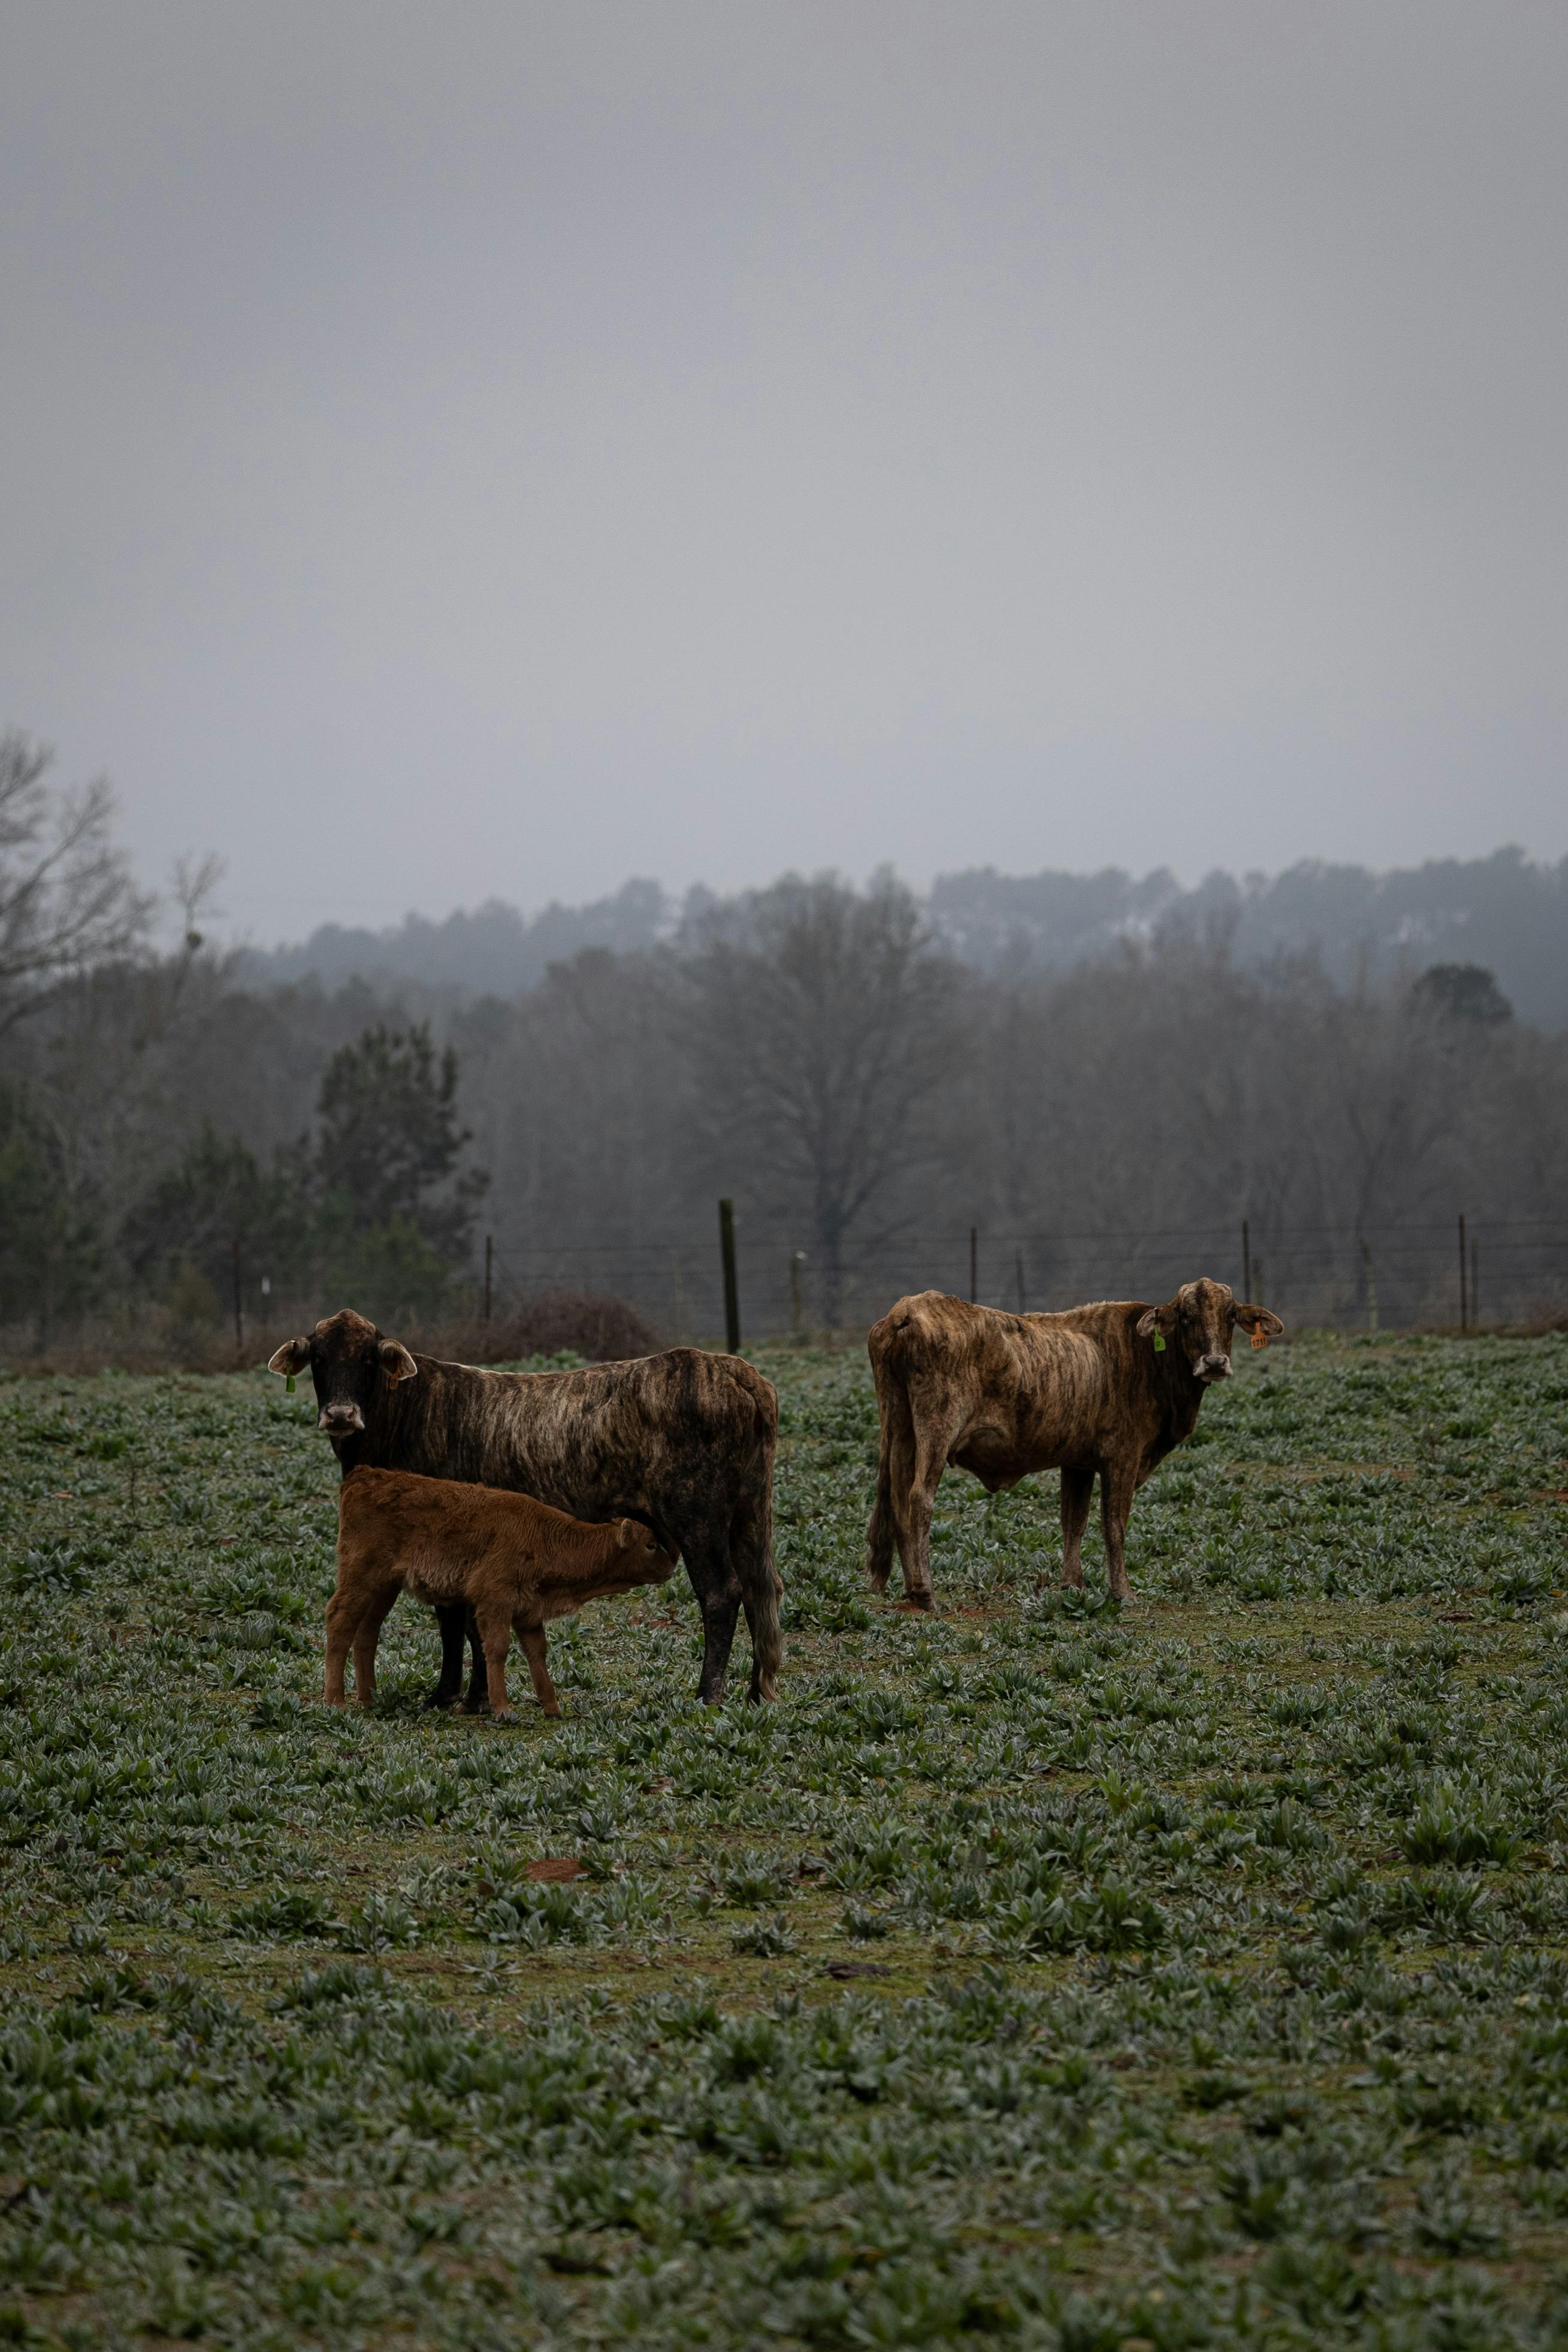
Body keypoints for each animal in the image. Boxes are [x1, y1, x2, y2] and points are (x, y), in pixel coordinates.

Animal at [326, 1466, 678, 1719]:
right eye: (650, 1545)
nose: (671, 1566)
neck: (545, 1536)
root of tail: (364, 1476)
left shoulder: (528, 1613)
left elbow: (537, 1653)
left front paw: (553, 1708)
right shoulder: (495, 1602)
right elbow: (496, 1649)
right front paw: (503, 1709)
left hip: (385, 1588)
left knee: (367, 1633)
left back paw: (370, 1699)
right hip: (360, 1578)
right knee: (340, 1621)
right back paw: (336, 1702)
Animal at [864, 1278, 1283, 1607]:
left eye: (1230, 1315)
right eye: (1186, 1317)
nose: (1214, 1363)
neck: (1148, 1360)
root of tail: (908, 1310)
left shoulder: (1078, 1464)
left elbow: (1073, 1521)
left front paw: (1073, 1584)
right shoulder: (1122, 1458)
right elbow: (1114, 1525)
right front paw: (1121, 1591)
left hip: (900, 1429)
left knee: (896, 1500)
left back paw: (907, 1587)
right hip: (936, 1429)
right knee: (919, 1498)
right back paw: (925, 1592)